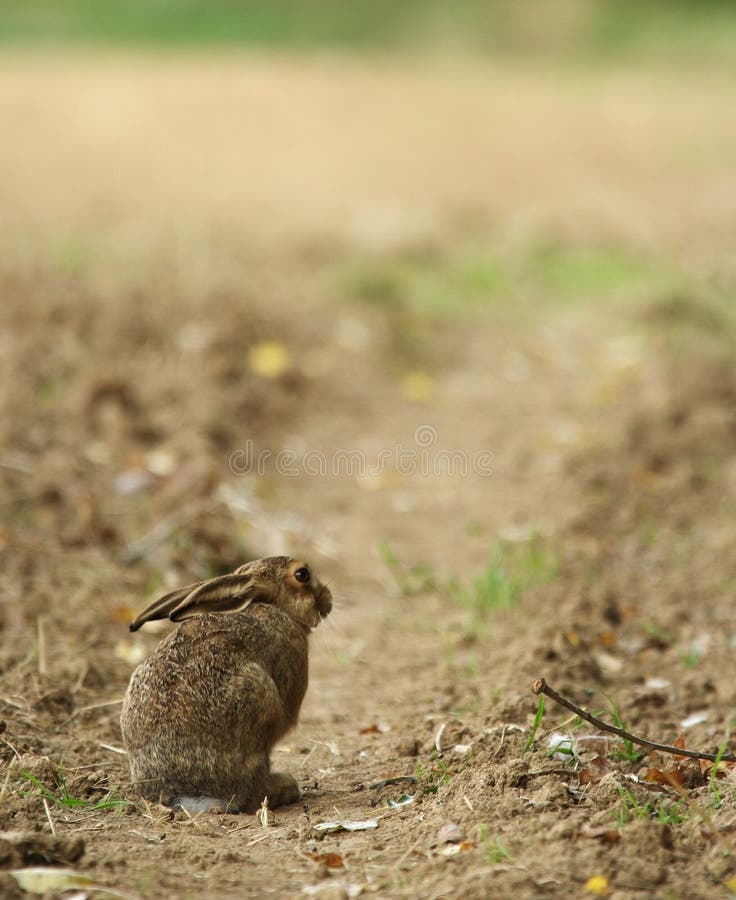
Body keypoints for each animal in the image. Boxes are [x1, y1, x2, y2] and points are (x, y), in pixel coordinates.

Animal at [120, 556, 332, 814]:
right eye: (302, 574)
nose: (328, 599)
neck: (275, 607)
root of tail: (182, 791)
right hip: (257, 694)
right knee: (251, 794)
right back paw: (286, 786)